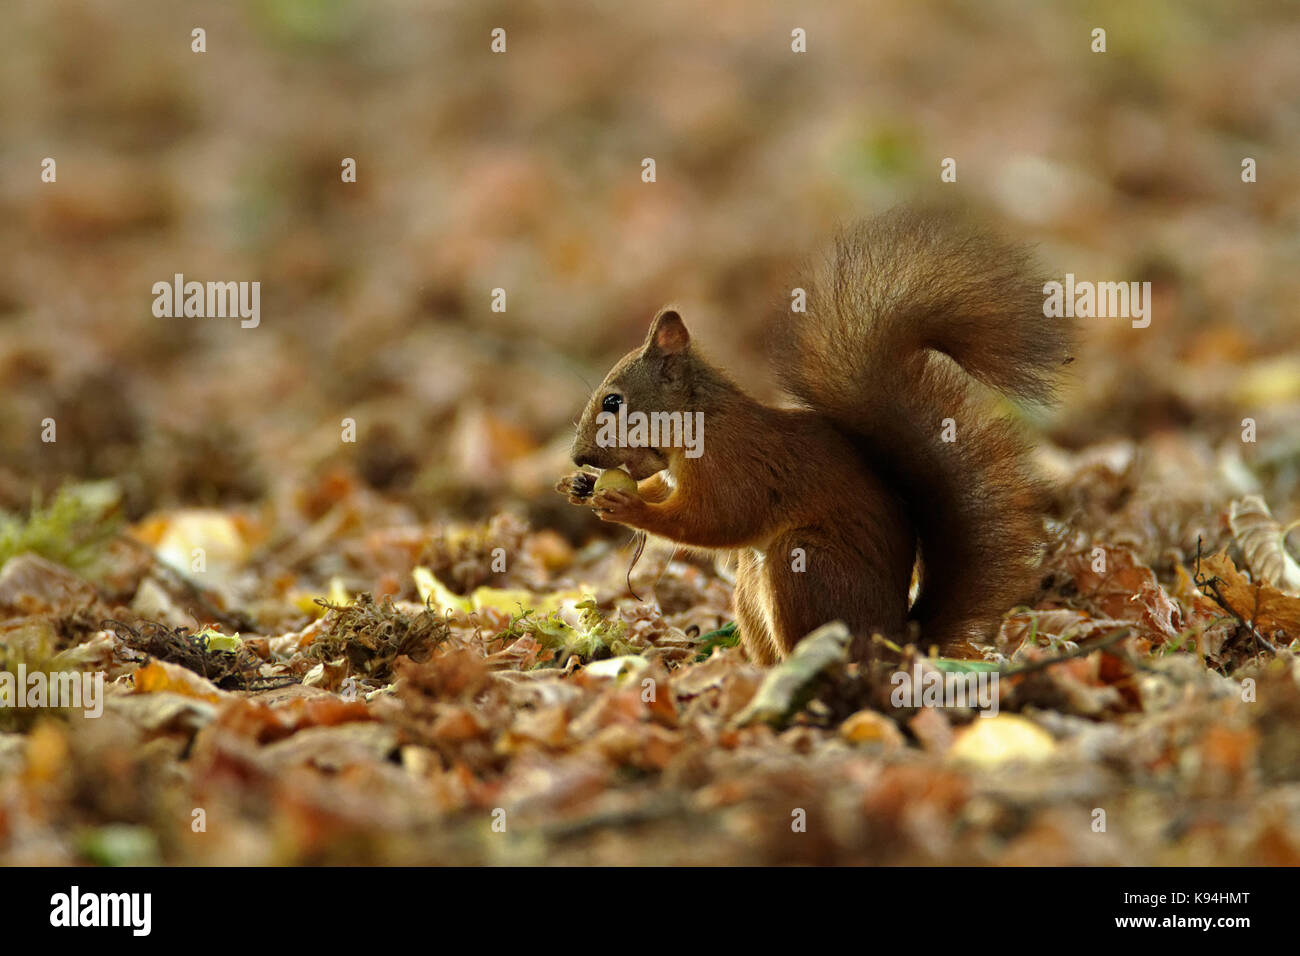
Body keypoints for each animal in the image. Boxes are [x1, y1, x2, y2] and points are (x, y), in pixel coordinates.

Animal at [556, 209, 1073, 663]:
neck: (701, 420)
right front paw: (580, 487)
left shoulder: (734, 463)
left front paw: (628, 507)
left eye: (613, 403)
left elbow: (715, 520)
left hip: (802, 566)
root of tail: (893, 639)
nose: (579, 456)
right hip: (753, 585)